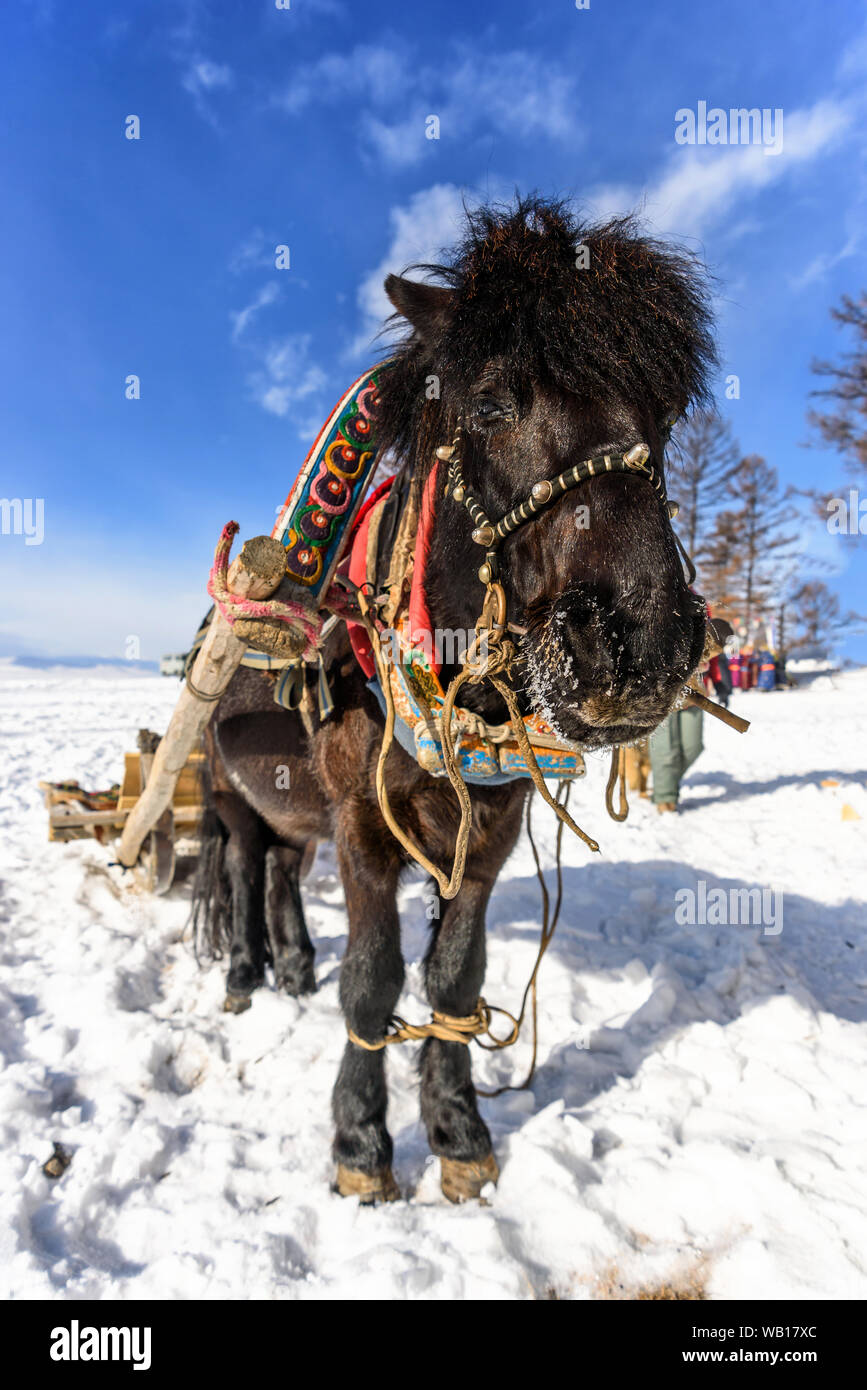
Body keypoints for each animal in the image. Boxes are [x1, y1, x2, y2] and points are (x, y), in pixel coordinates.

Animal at [192, 196, 714, 1203]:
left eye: (664, 417)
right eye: (489, 403)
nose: (639, 645)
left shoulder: (491, 831)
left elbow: (454, 978)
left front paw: (459, 1130)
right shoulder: (362, 826)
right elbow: (375, 979)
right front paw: (360, 1143)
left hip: (290, 807)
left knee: (278, 874)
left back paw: (290, 967)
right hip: (231, 798)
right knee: (238, 873)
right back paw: (243, 975)